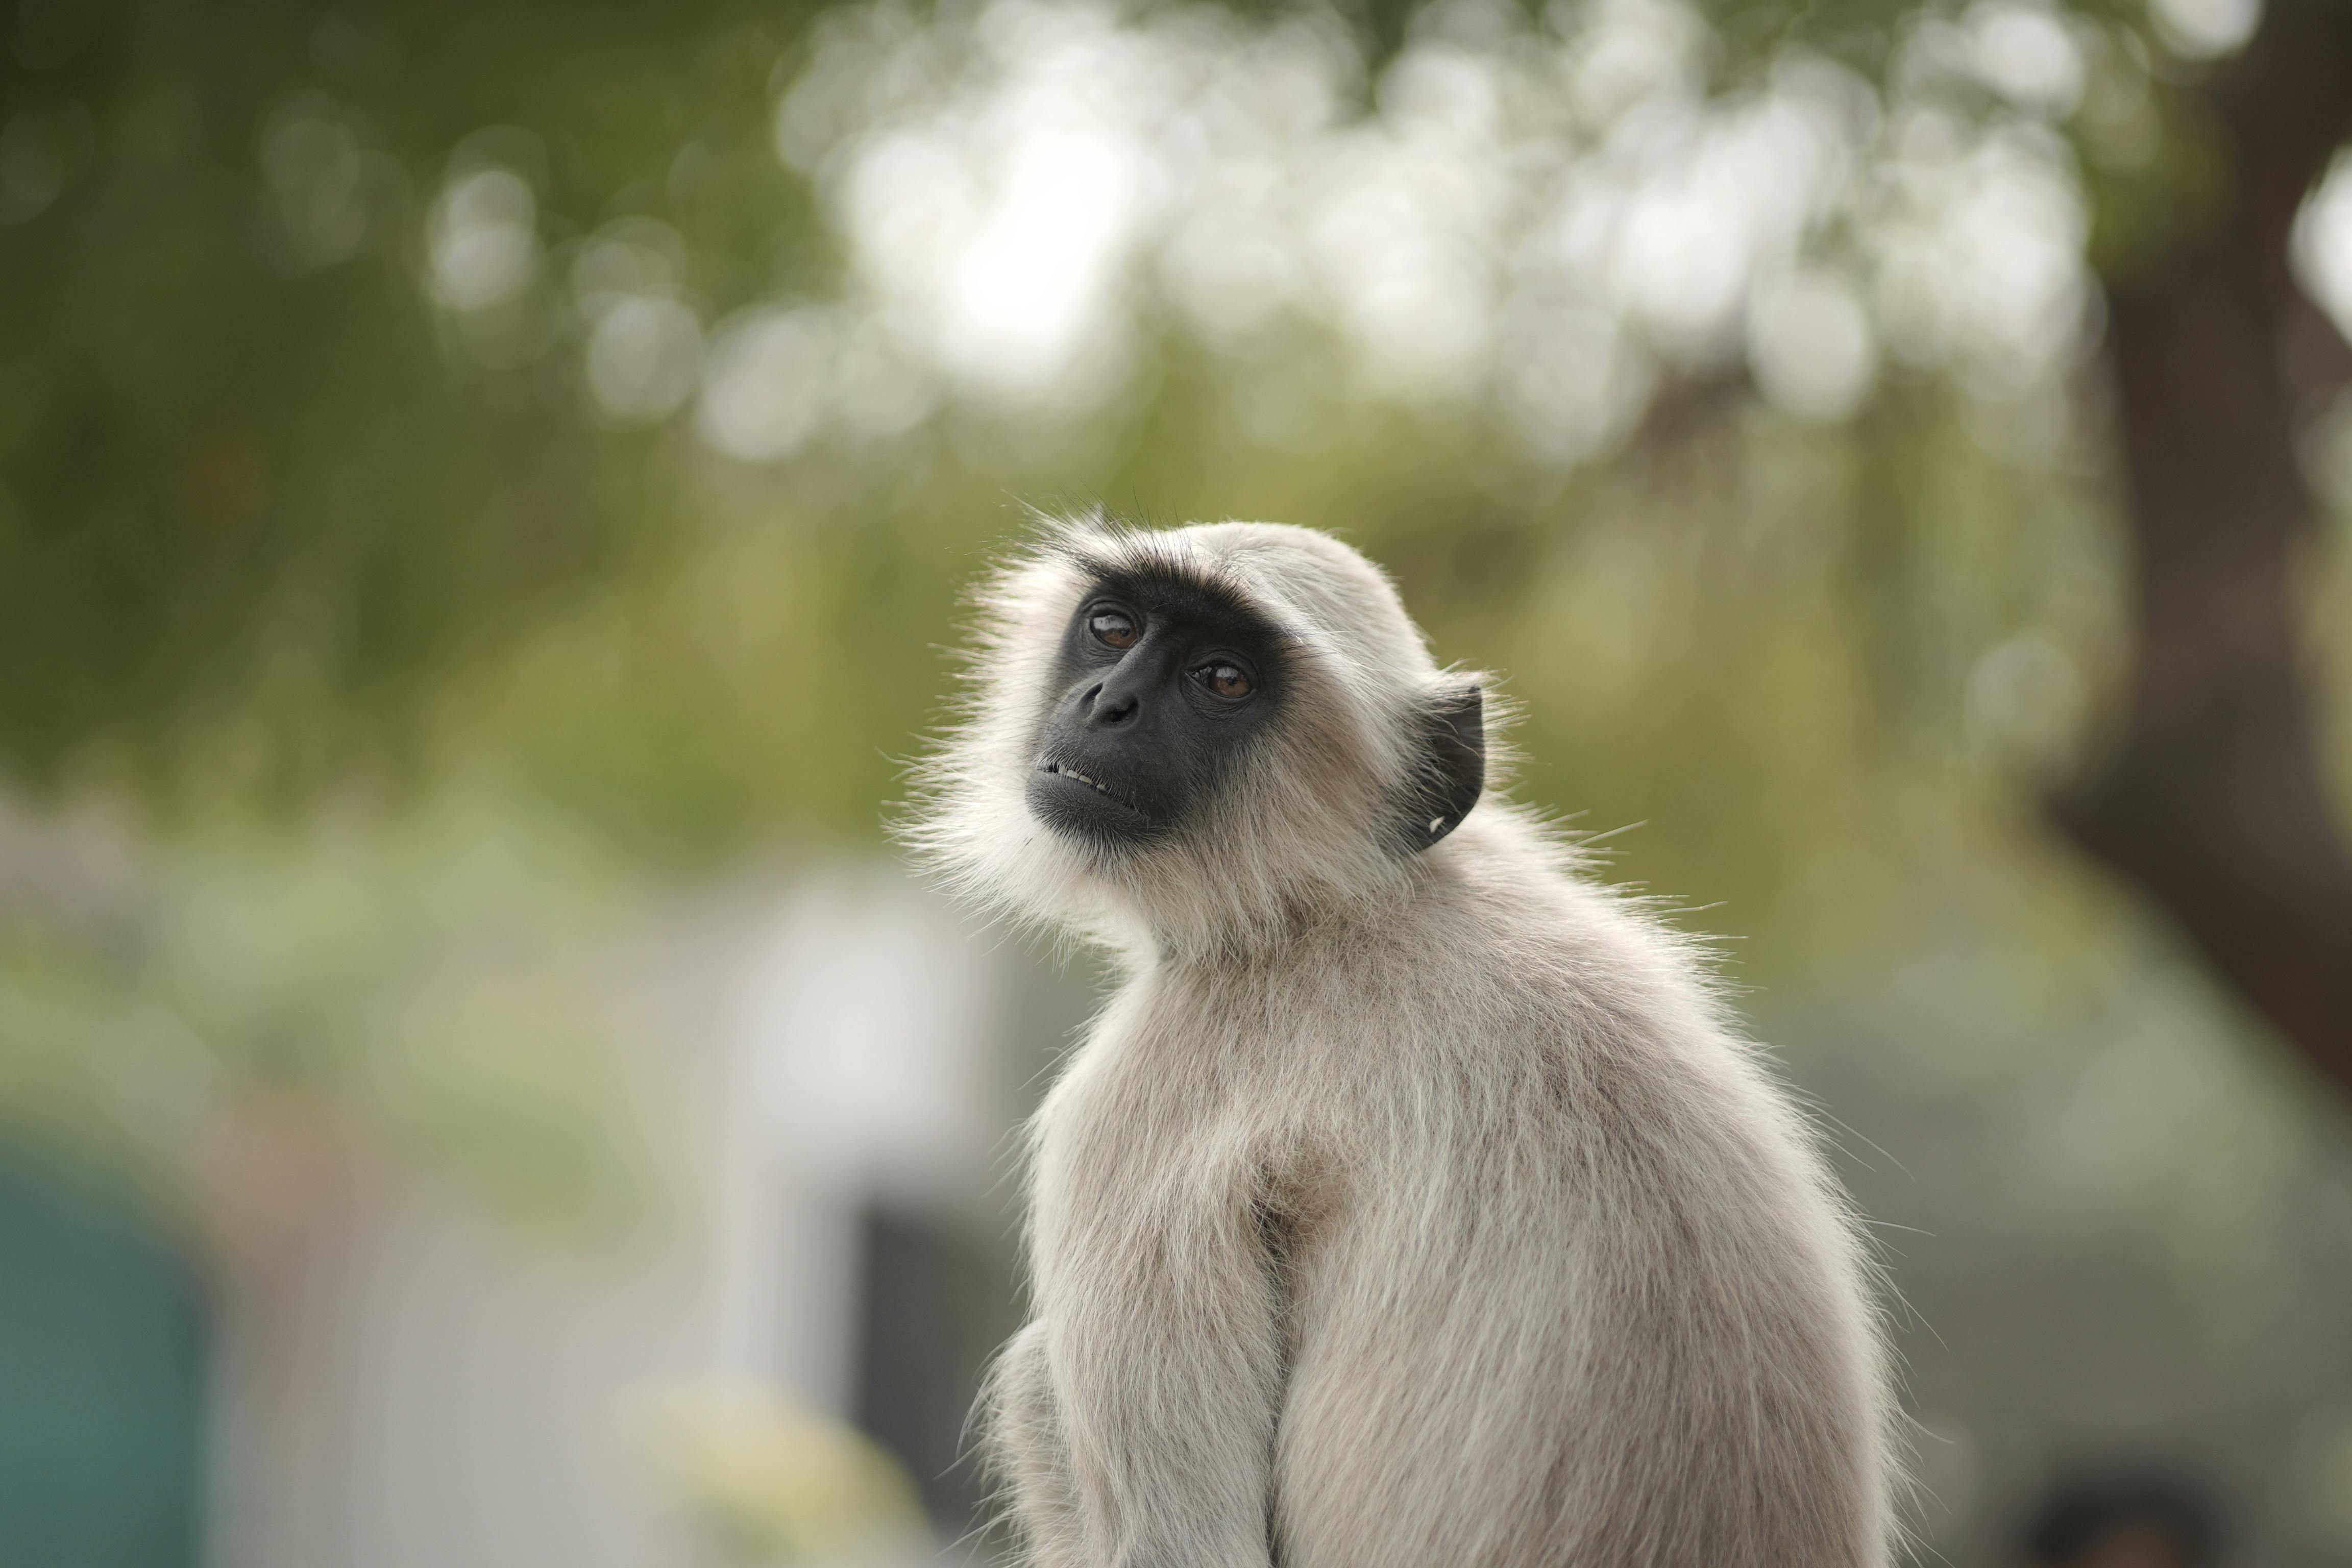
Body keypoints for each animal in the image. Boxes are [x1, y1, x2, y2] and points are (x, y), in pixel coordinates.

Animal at [905, 513, 1899, 1568]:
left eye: (1223, 680)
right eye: (1110, 627)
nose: (1110, 701)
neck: (1339, 902)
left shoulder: (1140, 1102)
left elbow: (1193, 1544)